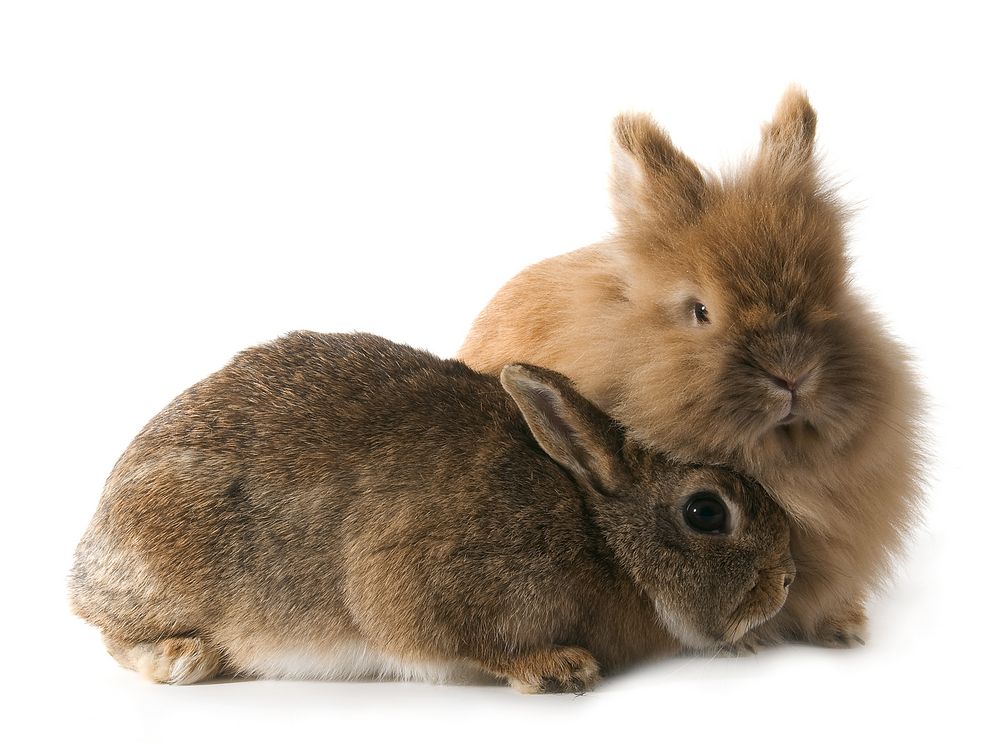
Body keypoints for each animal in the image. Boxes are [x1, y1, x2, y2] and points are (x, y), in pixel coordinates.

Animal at [69, 331, 794, 692]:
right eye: (705, 510)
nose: (786, 578)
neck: (601, 535)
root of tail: (87, 554)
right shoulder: (430, 583)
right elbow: (471, 642)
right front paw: (557, 668)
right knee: (114, 636)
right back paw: (182, 659)